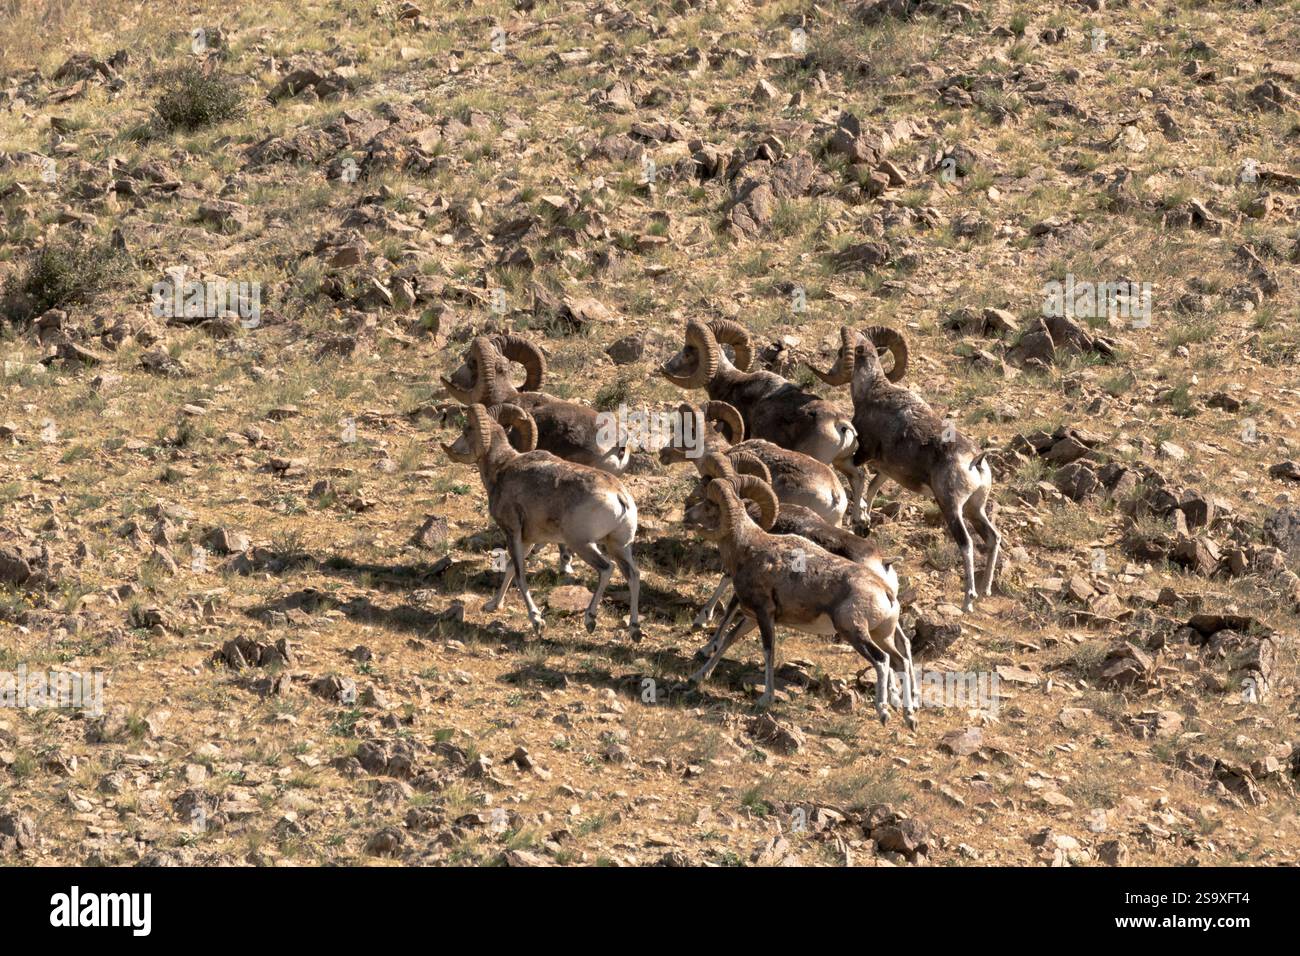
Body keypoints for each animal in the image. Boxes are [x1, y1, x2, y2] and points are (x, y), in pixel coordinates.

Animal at [441, 402, 641, 640]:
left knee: (606, 569)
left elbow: (519, 574)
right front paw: (492, 605)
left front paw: (536, 621)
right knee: (633, 575)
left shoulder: (512, 532)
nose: (453, 447)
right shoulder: (526, 540)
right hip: (620, 546)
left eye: (466, 430)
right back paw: (635, 630)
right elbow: (510, 568)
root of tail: (620, 496)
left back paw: (590, 620)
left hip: (582, 544)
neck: (502, 467)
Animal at [658, 319, 903, 526]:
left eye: (688, 351)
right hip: (843, 461)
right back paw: (861, 521)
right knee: (860, 478)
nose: (666, 367)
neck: (731, 383)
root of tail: (840, 423)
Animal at [680, 462, 916, 727]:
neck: (749, 547)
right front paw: (698, 676)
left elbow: (768, 651)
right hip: (881, 634)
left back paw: (884, 711)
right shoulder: (751, 617)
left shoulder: (764, 615)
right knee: (900, 659)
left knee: (882, 660)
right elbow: (728, 640)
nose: (686, 515)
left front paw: (766, 699)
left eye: (709, 505)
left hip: (855, 632)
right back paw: (909, 716)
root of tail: (886, 590)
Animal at [809, 326, 1001, 613]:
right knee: (992, 538)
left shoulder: (862, 455)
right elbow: (871, 489)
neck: (873, 393)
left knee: (966, 545)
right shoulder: (886, 470)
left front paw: (859, 520)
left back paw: (969, 600)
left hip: (952, 507)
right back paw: (987, 588)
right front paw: (864, 521)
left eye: (841, 352)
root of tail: (975, 460)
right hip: (975, 508)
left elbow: (858, 481)